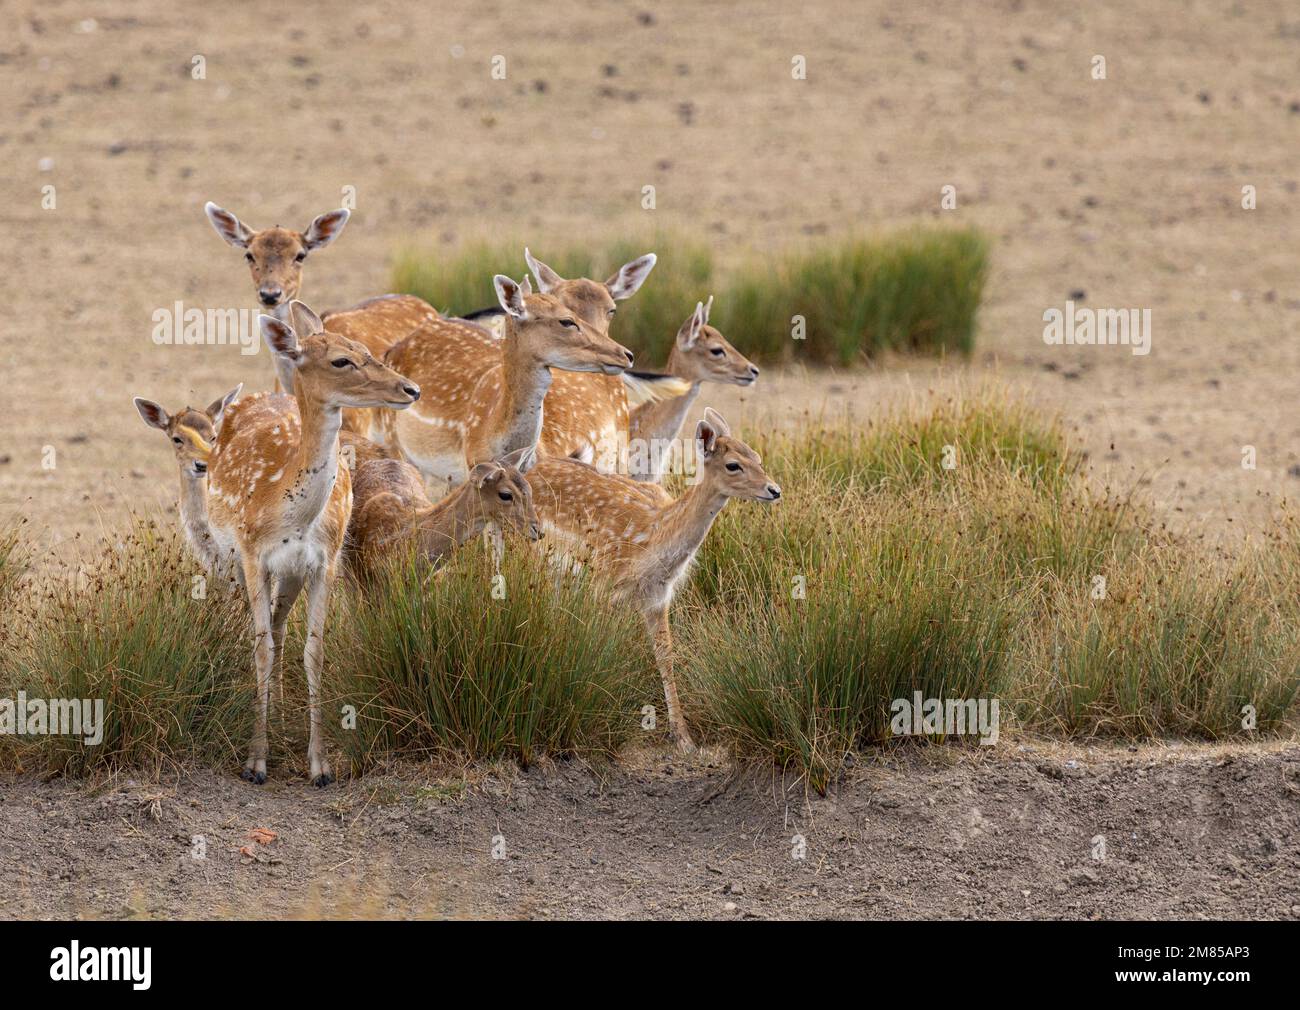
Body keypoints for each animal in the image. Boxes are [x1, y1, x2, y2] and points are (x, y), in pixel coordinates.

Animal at [205, 300, 420, 786]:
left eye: (365, 348)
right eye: (341, 360)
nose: (411, 388)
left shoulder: (325, 561)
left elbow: (314, 650)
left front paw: (319, 765)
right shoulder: (253, 555)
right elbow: (260, 647)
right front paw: (255, 762)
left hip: (291, 575)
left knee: (281, 626)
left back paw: (283, 717)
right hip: (229, 557)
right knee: (263, 629)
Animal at [528, 408, 781, 751]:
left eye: (757, 456)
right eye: (733, 465)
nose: (774, 490)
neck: (650, 543)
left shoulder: (657, 597)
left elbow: (665, 657)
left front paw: (684, 738)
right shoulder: (602, 582)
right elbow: (597, 644)